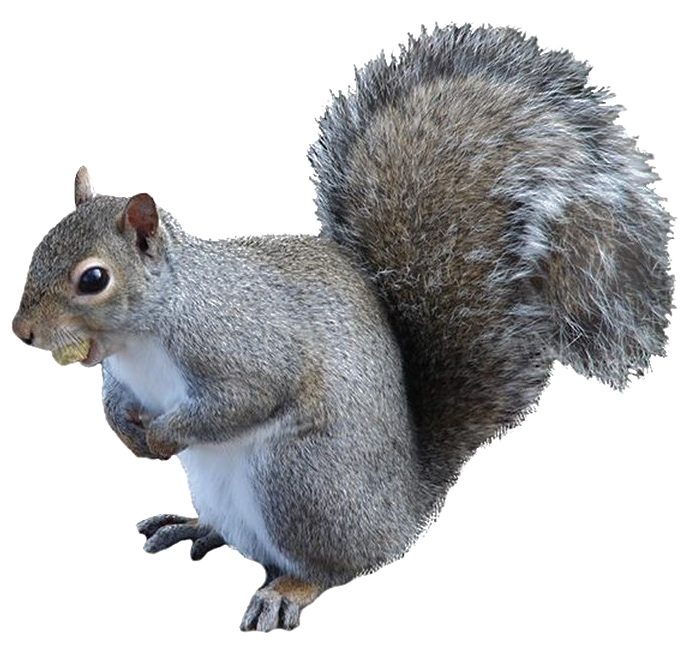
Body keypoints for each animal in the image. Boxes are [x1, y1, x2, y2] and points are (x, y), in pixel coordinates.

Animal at [11, 22, 674, 632]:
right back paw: (197, 528)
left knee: (335, 565)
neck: (145, 334)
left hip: (300, 479)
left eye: (93, 279)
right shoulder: (128, 373)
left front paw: (166, 435)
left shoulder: (239, 343)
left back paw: (291, 587)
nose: (25, 334)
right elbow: (118, 399)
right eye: (40, 247)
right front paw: (130, 431)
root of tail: (402, 508)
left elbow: (246, 397)